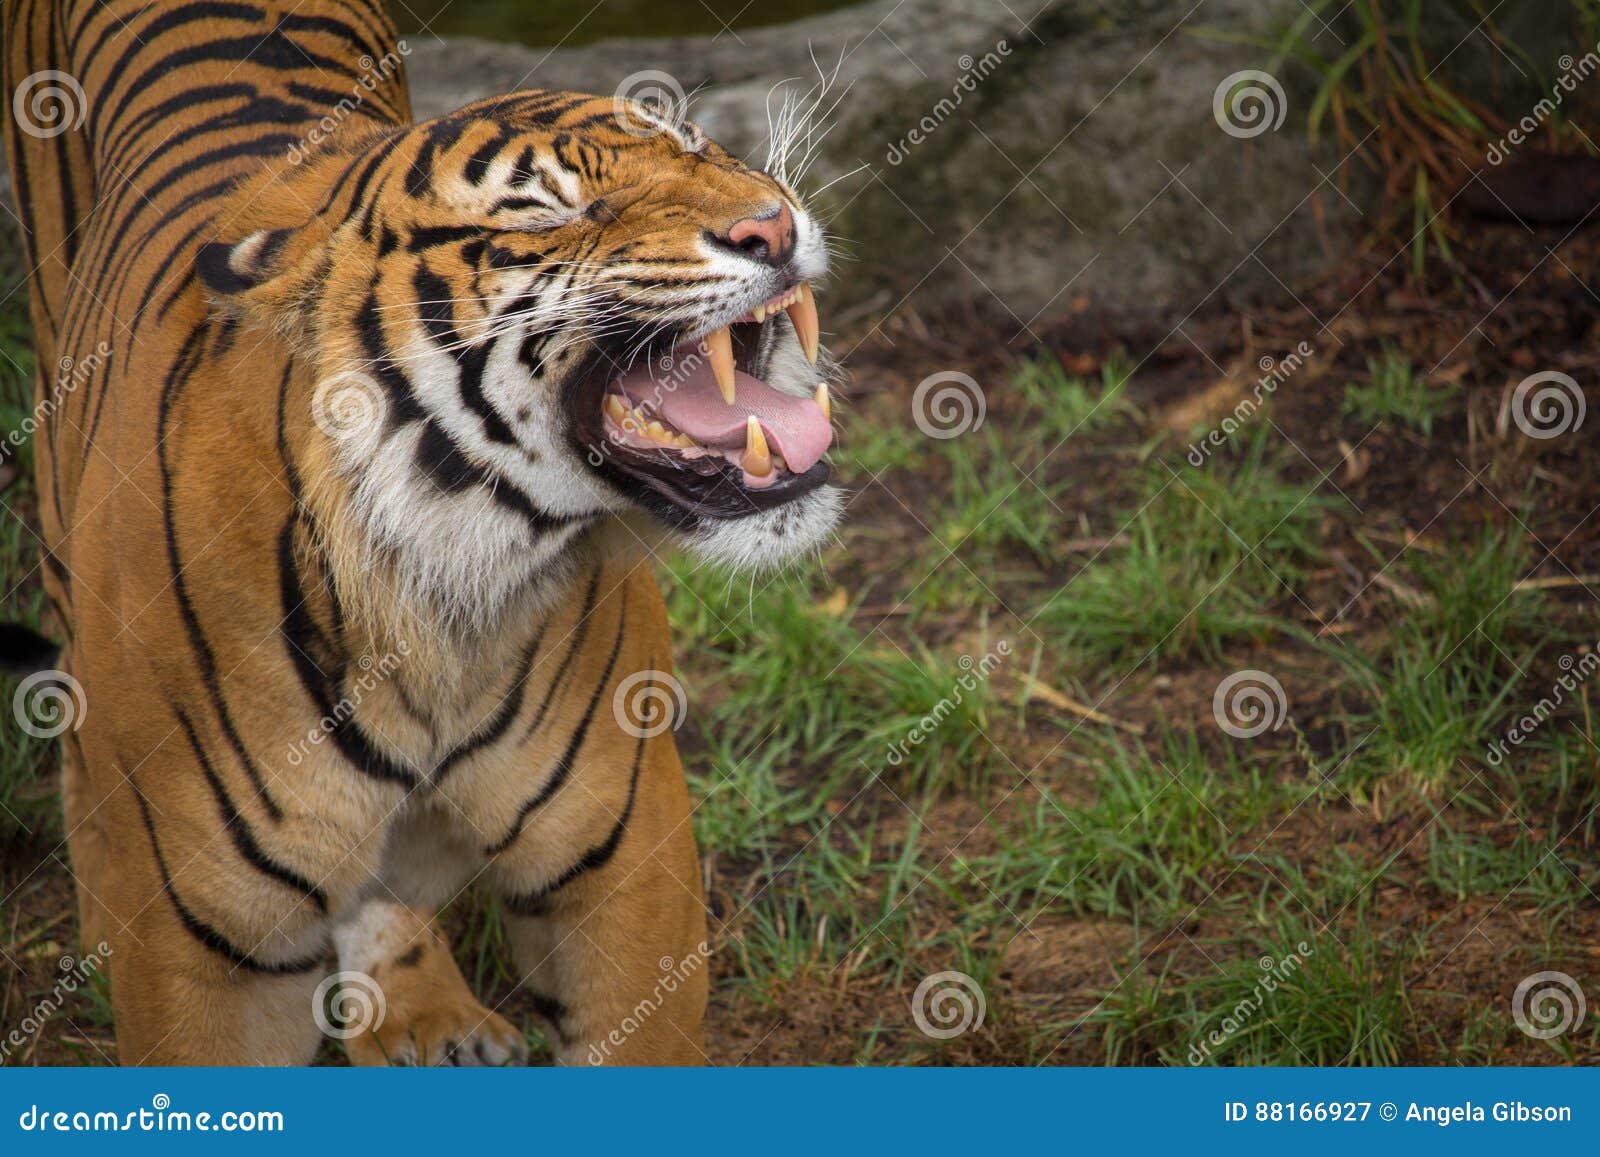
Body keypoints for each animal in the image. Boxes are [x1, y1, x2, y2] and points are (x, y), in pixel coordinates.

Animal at [2, 0, 840, 1065]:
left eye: (698, 146)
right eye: (546, 209)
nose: (772, 223)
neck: (443, 600)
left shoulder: (623, 862)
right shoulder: (203, 962)